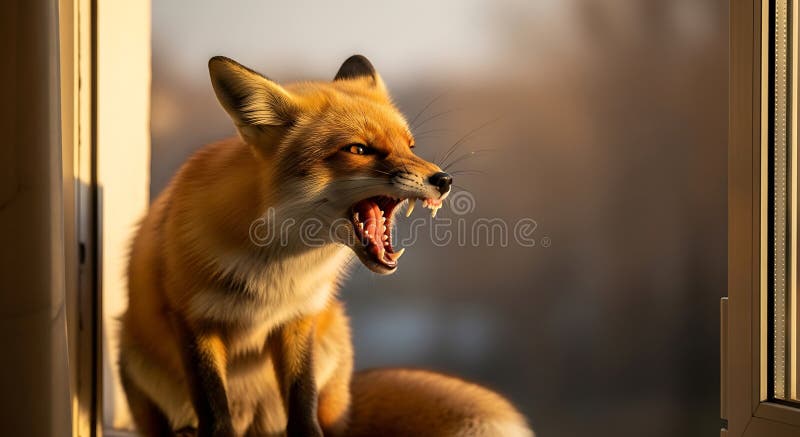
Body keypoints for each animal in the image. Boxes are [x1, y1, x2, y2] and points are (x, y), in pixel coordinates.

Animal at [118, 54, 534, 437]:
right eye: (359, 150)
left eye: (411, 145)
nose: (444, 180)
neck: (276, 265)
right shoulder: (194, 320)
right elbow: (215, 411)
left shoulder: (299, 316)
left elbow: (303, 405)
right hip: (132, 354)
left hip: (333, 338)